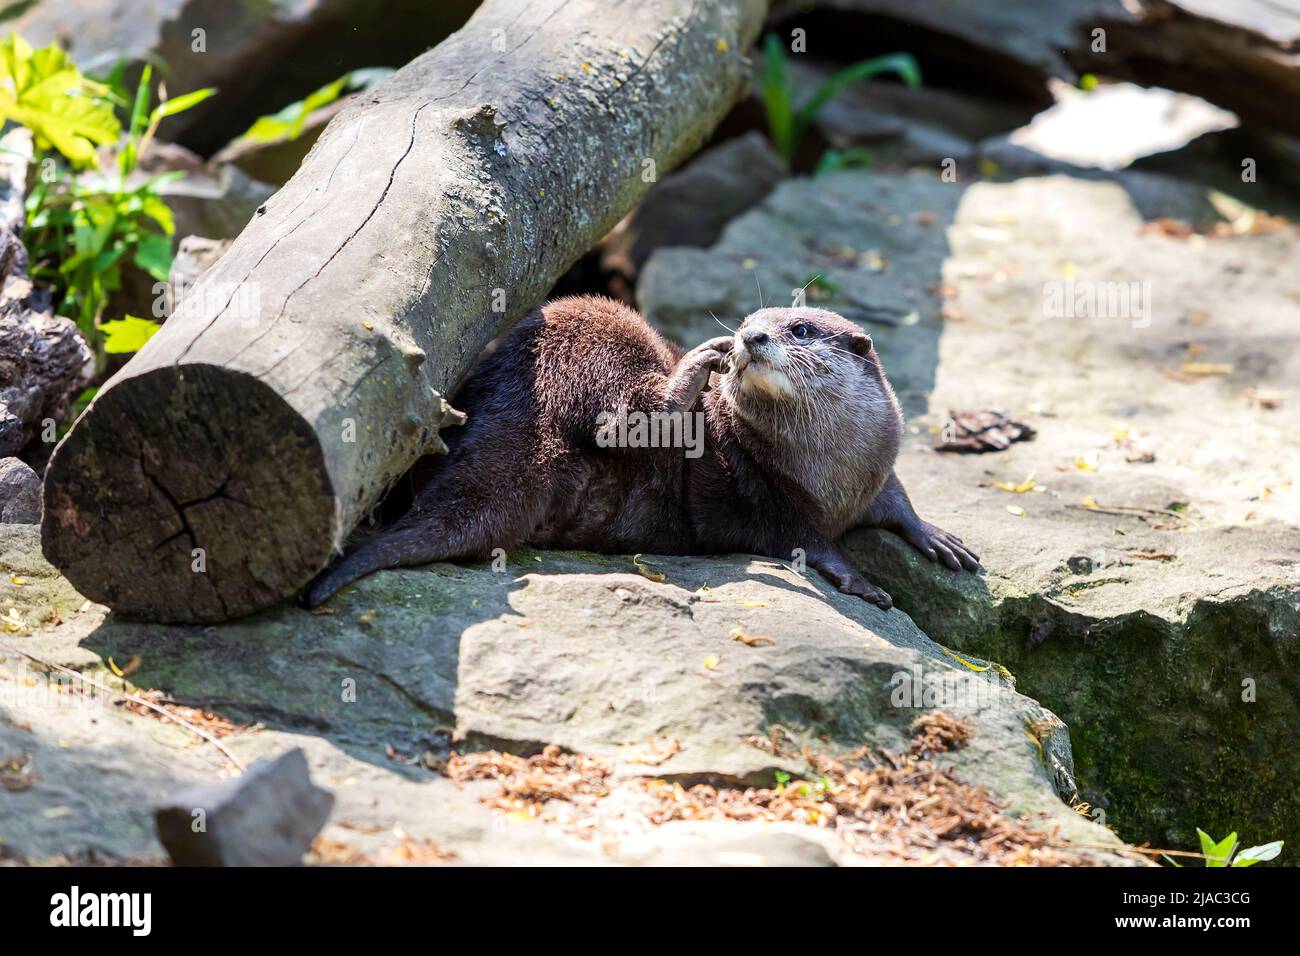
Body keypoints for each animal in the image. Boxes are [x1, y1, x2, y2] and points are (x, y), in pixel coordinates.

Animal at [305, 295, 978, 609]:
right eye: (751, 319)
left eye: (801, 329)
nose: (747, 337)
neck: (832, 473)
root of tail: (521, 400)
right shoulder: (771, 496)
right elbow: (805, 541)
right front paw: (858, 579)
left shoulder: (878, 465)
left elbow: (897, 498)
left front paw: (939, 537)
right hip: (595, 331)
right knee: (626, 412)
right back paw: (693, 368)